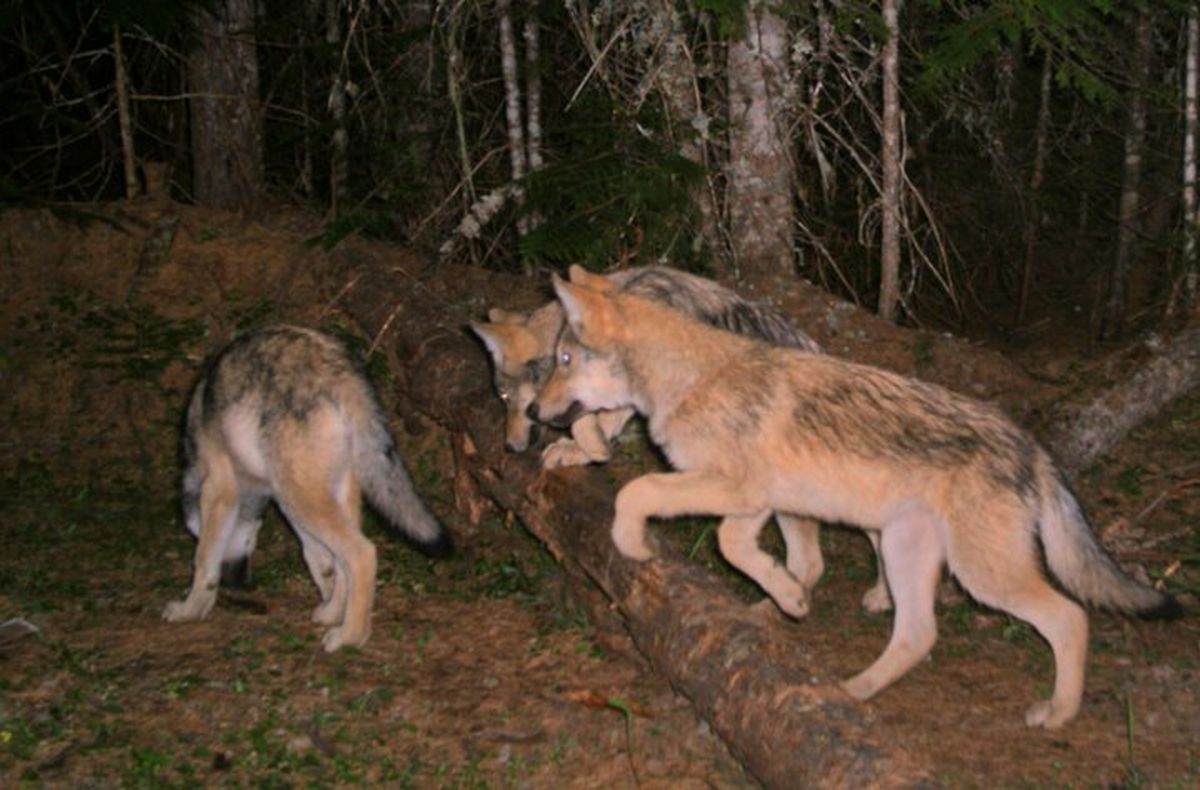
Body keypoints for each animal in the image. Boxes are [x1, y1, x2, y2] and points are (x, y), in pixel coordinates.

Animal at [162, 325, 451, 652]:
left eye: (195, 533)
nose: (240, 583)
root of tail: (339, 369)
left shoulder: (220, 491)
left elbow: (203, 561)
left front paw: (190, 609)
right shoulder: (277, 498)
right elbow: (317, 558)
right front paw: (331, 605)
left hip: (302, 497)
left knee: (362, 553)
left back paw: (351, 636)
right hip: (320, 493)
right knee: (342, 559)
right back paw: (336, 614)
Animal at [472, 266, 890, 612]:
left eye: (507, 397)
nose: (509, 447)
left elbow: (588, 422)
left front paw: (588, 447)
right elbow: (596, 419)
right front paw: (583, 451)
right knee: (810, 563)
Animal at [530, 265, 1179, 728]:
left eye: (562, 360)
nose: (534, 412)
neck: (689, 379)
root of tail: (1030, 444)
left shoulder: (737, 490)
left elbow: (639, 494)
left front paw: (632, 544)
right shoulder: (757, 500)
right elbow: (743, 549)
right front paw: (789, 599)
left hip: (982, 575)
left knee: (1069, 617)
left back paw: (1058, 712)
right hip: (903, 547)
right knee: (918, 634)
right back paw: (854, 690)